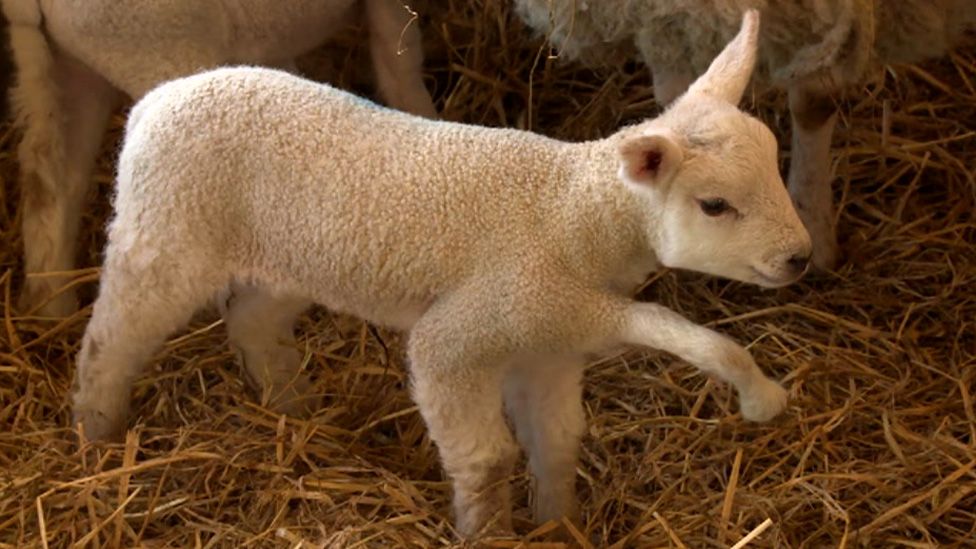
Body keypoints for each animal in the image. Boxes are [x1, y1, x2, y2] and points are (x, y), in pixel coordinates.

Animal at [72, 12, 809, 537]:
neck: (573, 219)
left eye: (777, 165)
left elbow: (557, 444)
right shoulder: (464, 337)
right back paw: (96, 430)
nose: (800, 257)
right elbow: (487, 456)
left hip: (292, 259)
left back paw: (295, 408)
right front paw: (488, 532)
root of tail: (160, 98)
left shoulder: (549, 346)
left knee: (253, 322)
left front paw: (558, 525)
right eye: (714, 204)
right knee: (112, 336)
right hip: (165, 232)